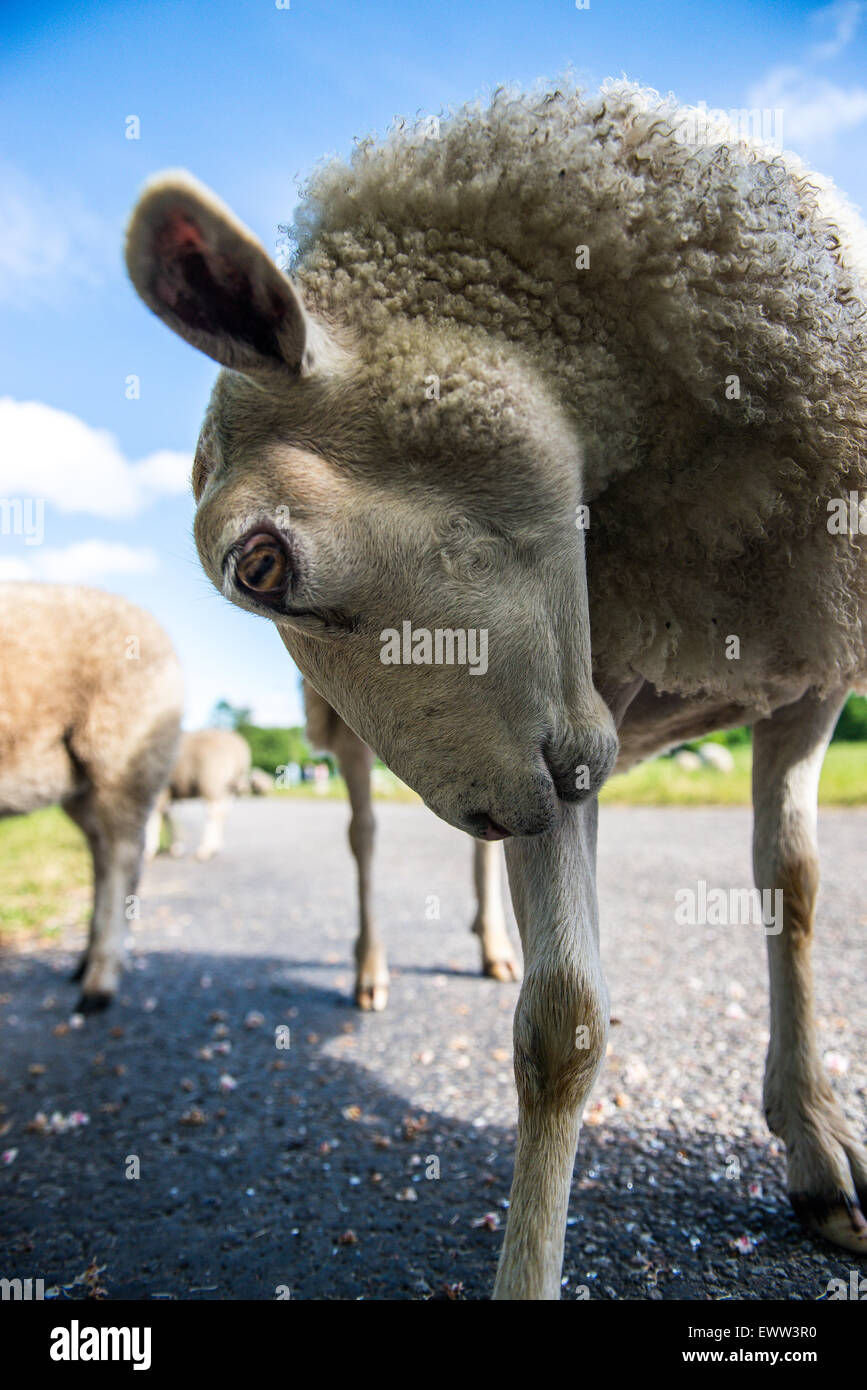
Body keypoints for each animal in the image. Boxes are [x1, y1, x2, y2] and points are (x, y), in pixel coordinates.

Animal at [0, 583, 183, 1009]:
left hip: (121, 750)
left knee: (122, 859)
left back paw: (100, 982)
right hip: (83, 784)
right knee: (104, 854)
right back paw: (87, 962)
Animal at [147, 727, 251, 861]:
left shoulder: (162, 787)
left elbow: (156, 814)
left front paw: (149, 850)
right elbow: (168, 814)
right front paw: (176, 847)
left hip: (212, 779)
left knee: (213, 812)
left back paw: (206, 850)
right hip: (228, 786)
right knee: (223, 812)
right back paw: (215, 846)